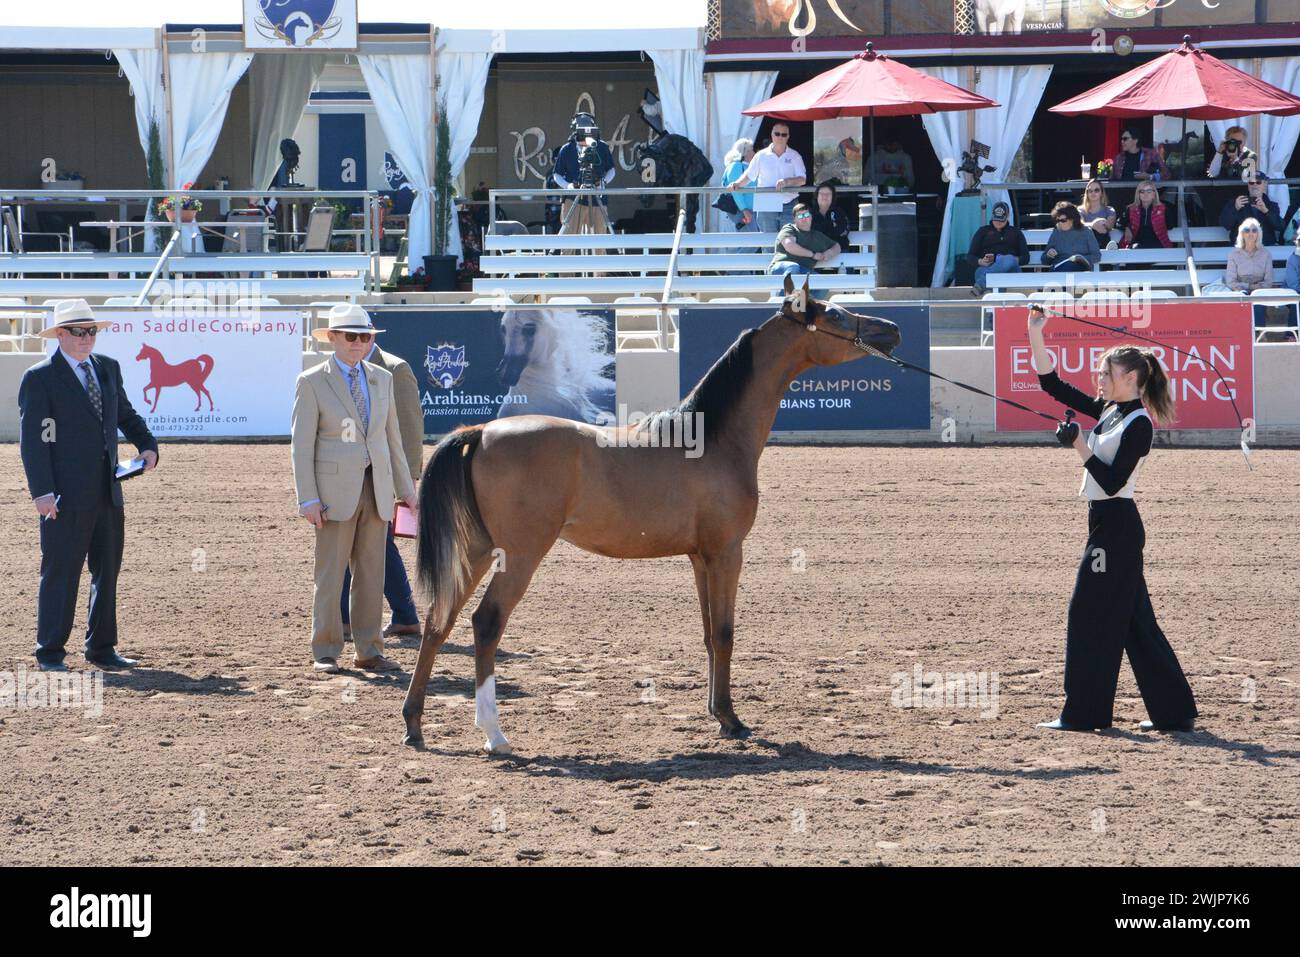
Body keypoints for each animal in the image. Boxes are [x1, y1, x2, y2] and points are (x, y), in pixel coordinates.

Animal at [400, 277, 901, 754]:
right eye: (834, 314)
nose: (892, 329)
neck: (712, 439)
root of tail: (480, 431)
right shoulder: (727, 553)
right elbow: (725, 633)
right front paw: (732, 718)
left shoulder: (700, 558)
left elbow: (708, 634)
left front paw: (717, 713)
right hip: (519, 555)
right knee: (486, 623)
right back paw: (494, 734)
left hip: (477, 551)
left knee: (438, 621)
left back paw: (414, 725)